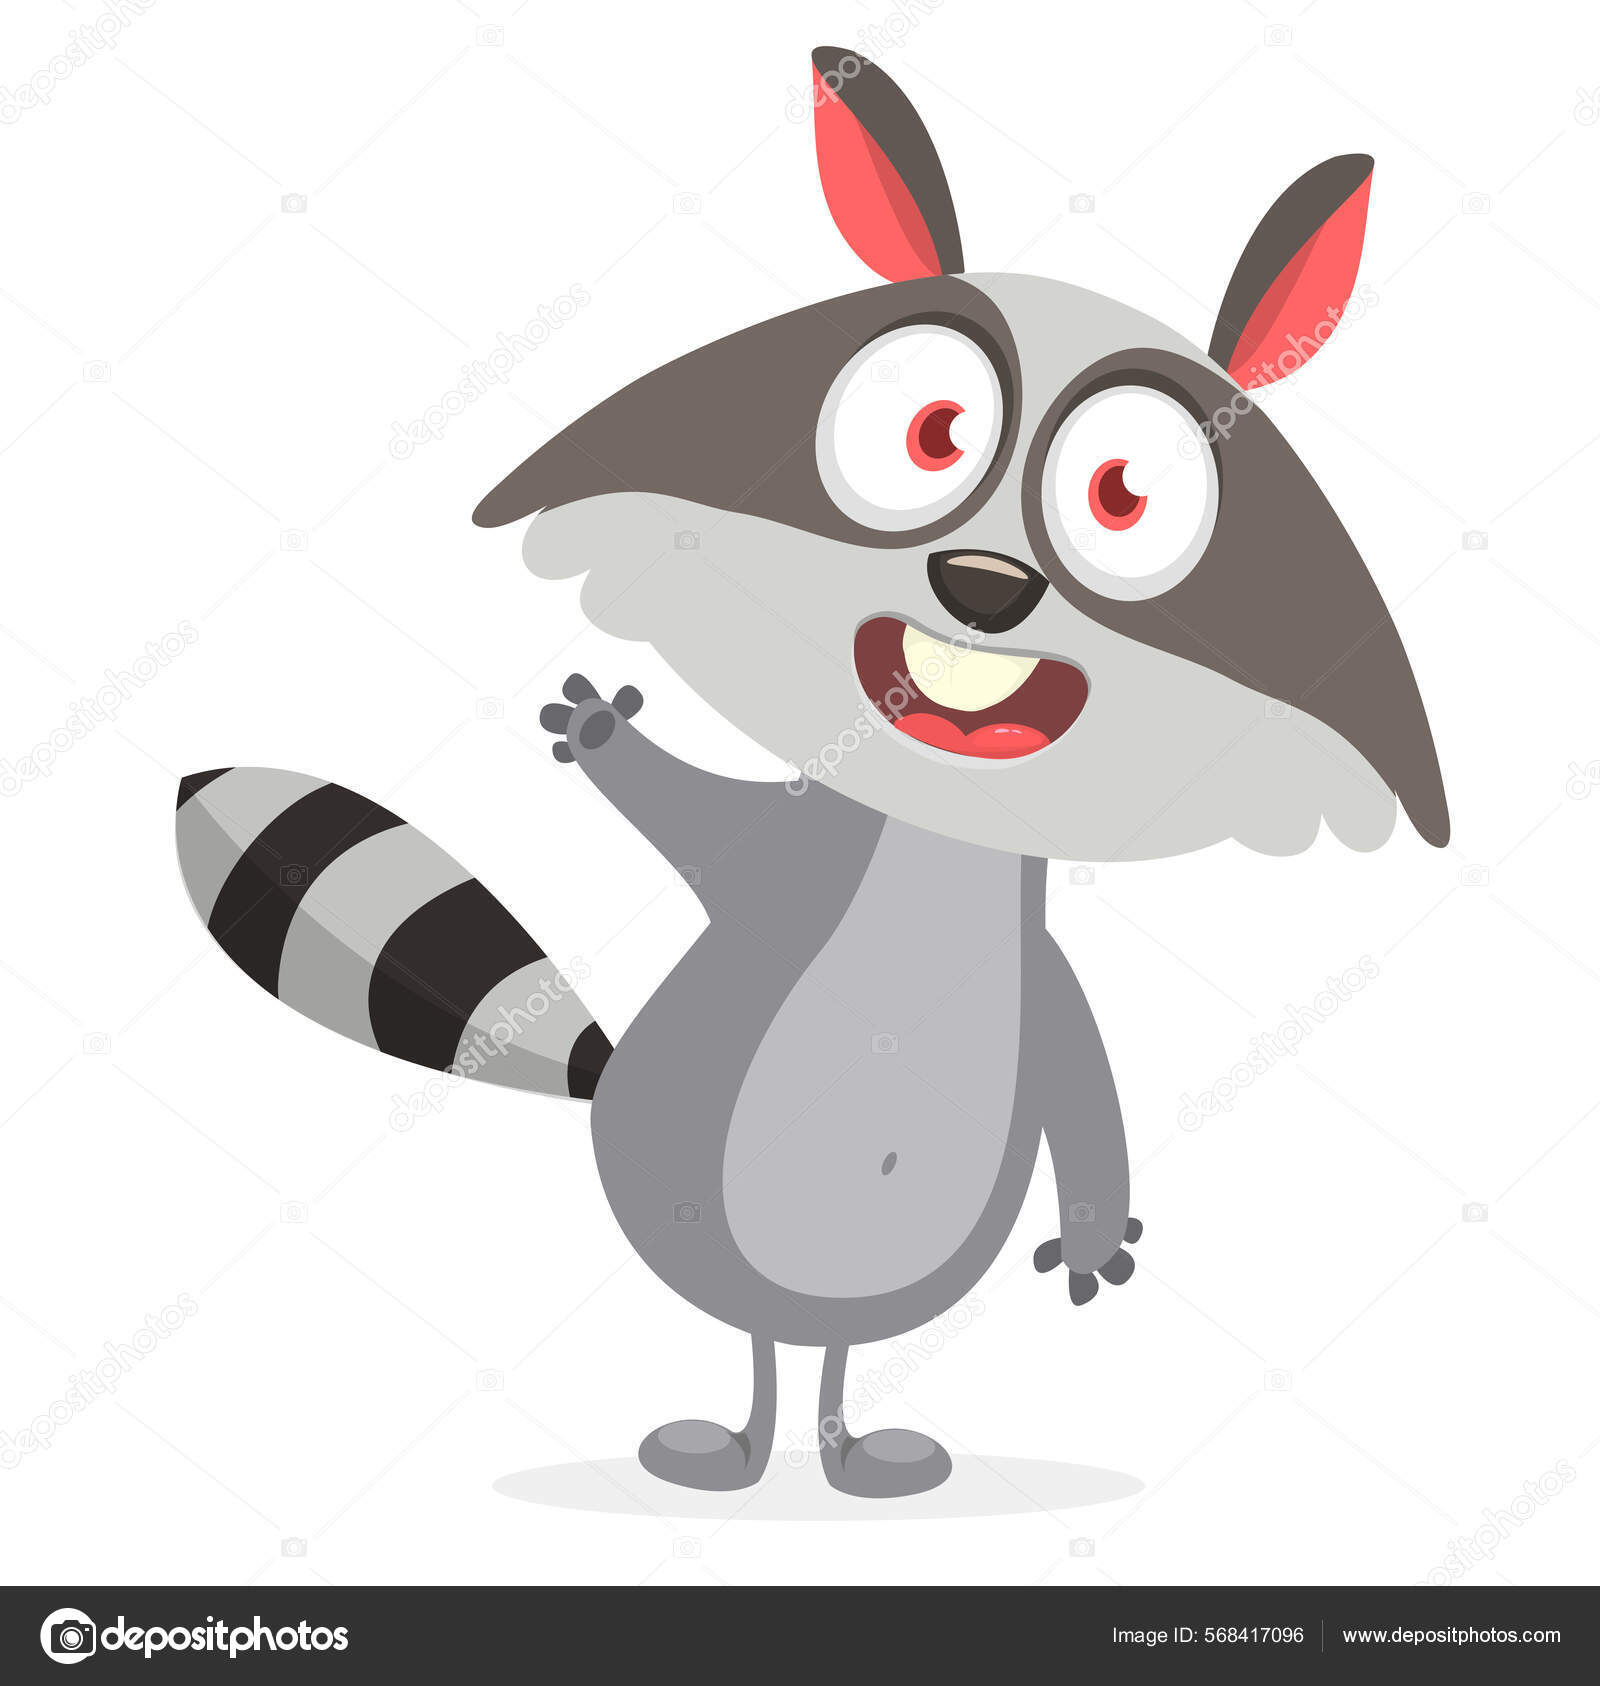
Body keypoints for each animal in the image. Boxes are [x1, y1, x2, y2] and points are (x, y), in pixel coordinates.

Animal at [178, 47, 1446, 1499]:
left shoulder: (1043, 971)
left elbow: (1081, 1077)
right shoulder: (781, 862)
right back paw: (731, 1457)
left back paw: (857, 1458)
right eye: (932, 431)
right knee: (761, 1344)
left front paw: (1089, 1240)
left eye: (1122, 491)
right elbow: (699, 820)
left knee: (831, 1350)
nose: (987, 584)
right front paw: (595, 730)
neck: (935, 847)